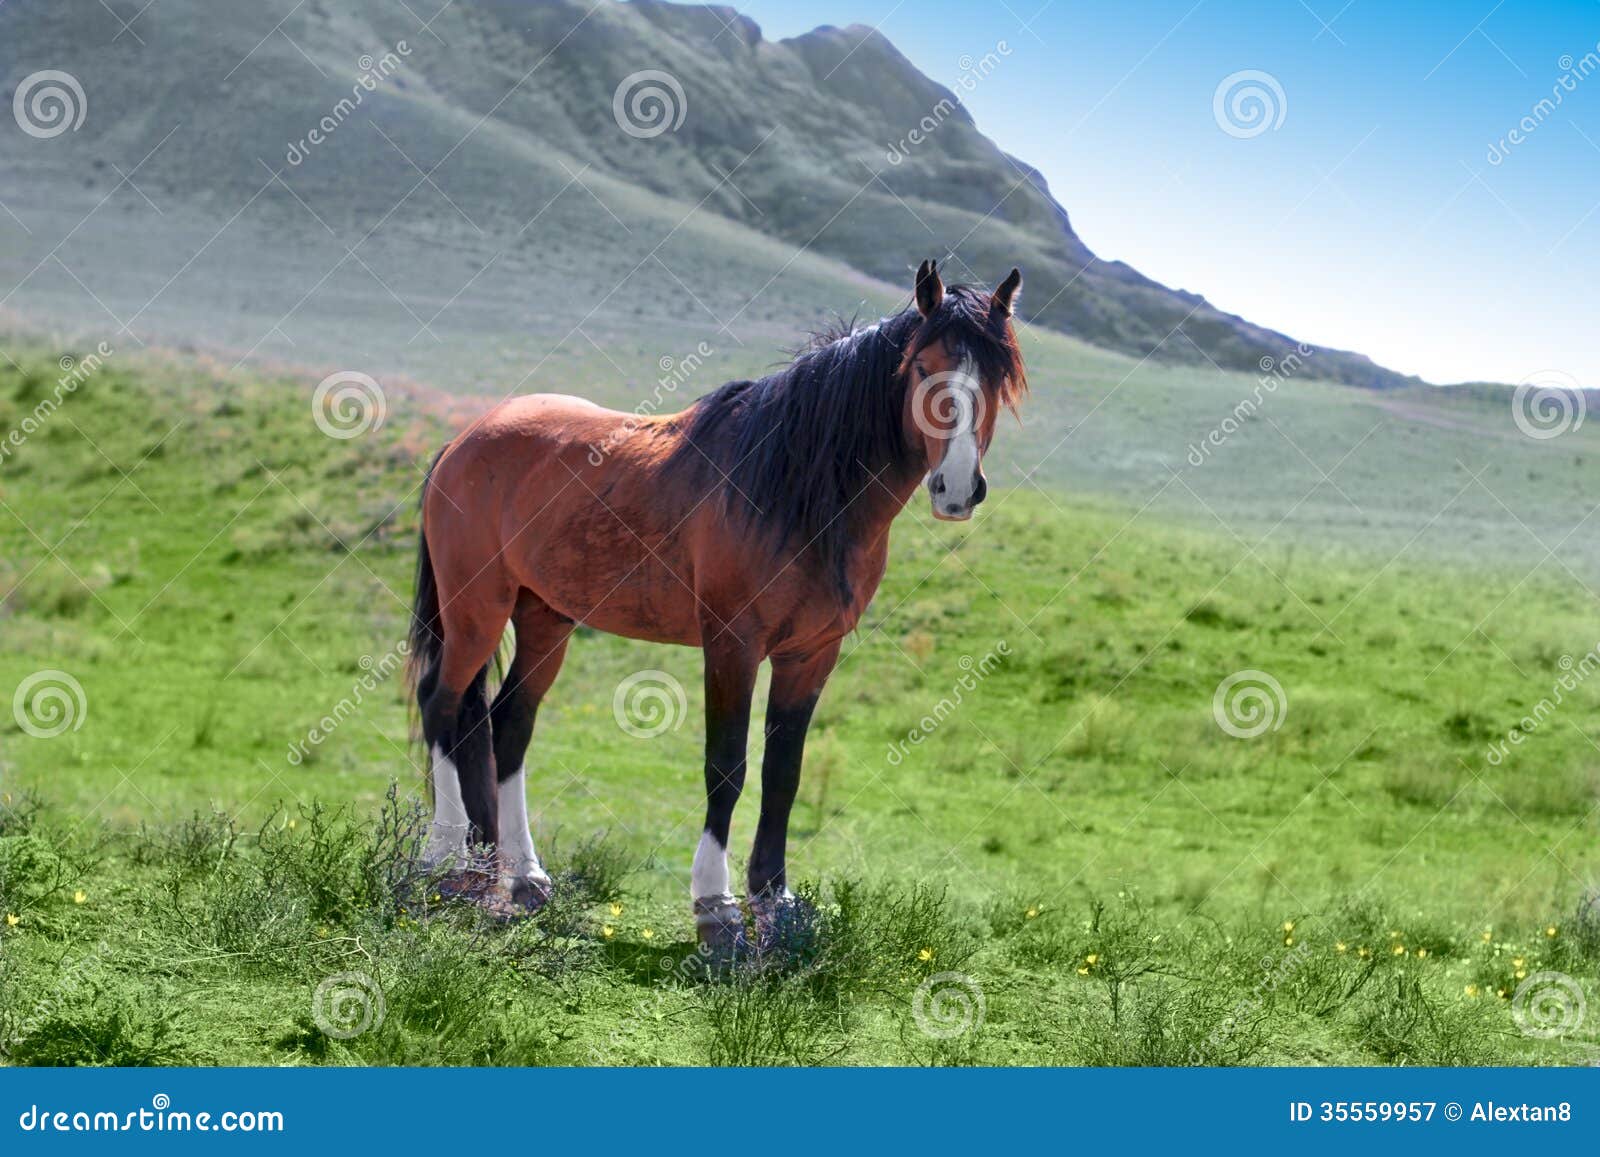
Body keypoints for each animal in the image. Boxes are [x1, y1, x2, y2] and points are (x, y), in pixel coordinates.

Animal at [405, 259, 1027, 955]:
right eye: (922, 368)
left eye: (997, 376)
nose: (956, 488)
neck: (793, 486)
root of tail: (463, 441)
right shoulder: (733, 644)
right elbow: (726, 767)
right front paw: (716, 907)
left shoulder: (811, 653)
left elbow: (784, 772)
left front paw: (774, 899)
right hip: (475, 610)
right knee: (442, 703)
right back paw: (444, 856)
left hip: (545, 616)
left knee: (509, 722)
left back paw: (521, 874)